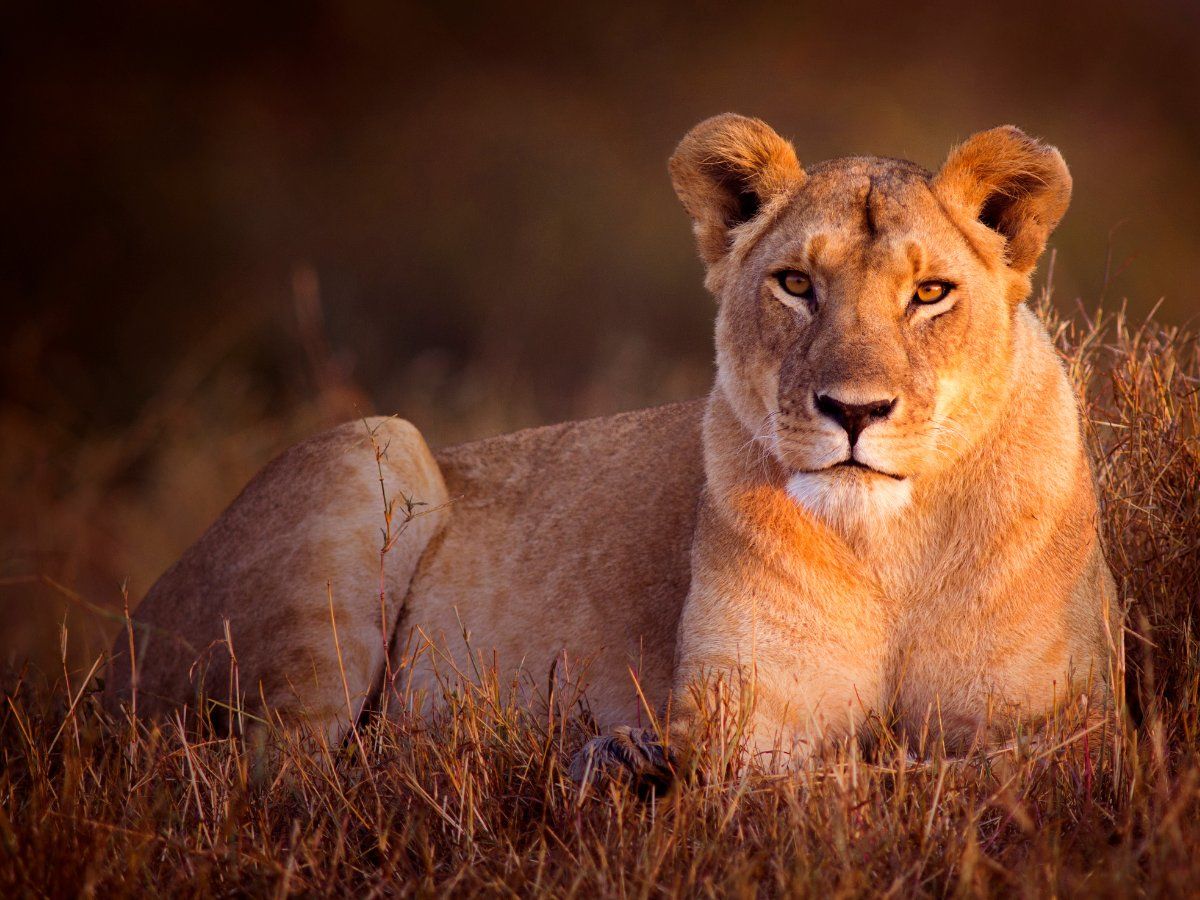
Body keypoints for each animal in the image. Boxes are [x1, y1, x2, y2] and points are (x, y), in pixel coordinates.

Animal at [106, 115, 1116, 785]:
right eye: (795, 284)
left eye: (931, 292)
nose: (853, 411)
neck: (890, 549)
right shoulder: (742, 722)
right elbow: (824, 781)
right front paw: (633, 758)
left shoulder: (1062, 725)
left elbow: (965, 771)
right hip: (371, 446)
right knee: (274, 778)